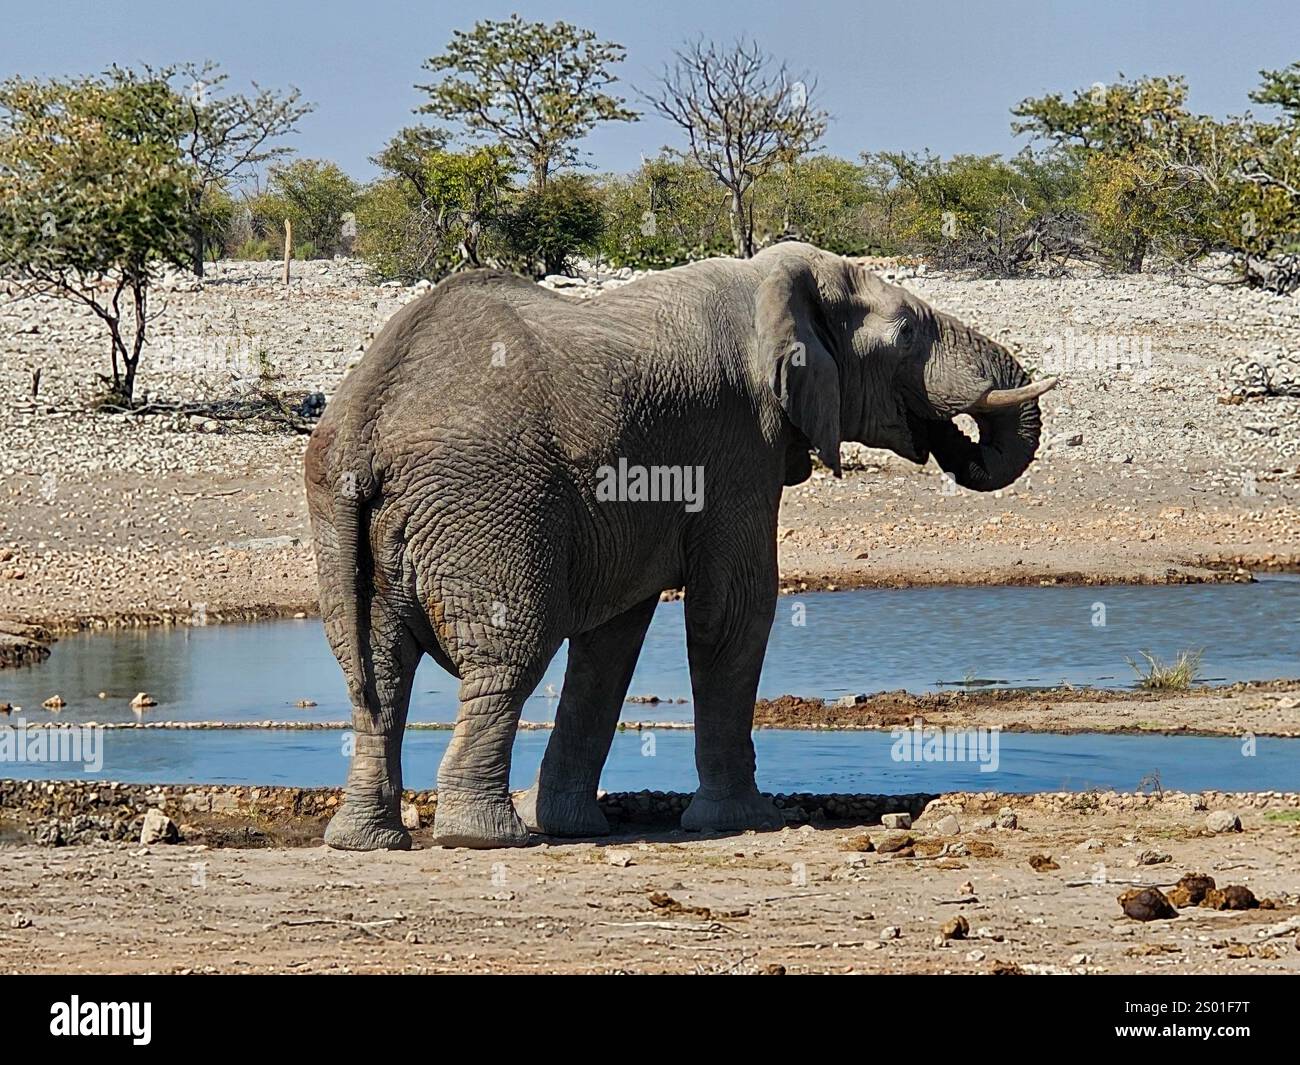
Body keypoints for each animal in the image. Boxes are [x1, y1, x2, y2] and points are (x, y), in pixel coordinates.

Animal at [304, 241, 1055, 850]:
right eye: (906, 334)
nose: (954, 445)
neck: (772, 282)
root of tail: (366, 420)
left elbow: (613, 639)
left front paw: (575, 825)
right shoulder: (738, 442)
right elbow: (735, 609)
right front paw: (748, 821)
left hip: (347, 522)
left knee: (374, 670)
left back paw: (365, 840)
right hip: (487, 506)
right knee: (506, 656)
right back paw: (483, 838)